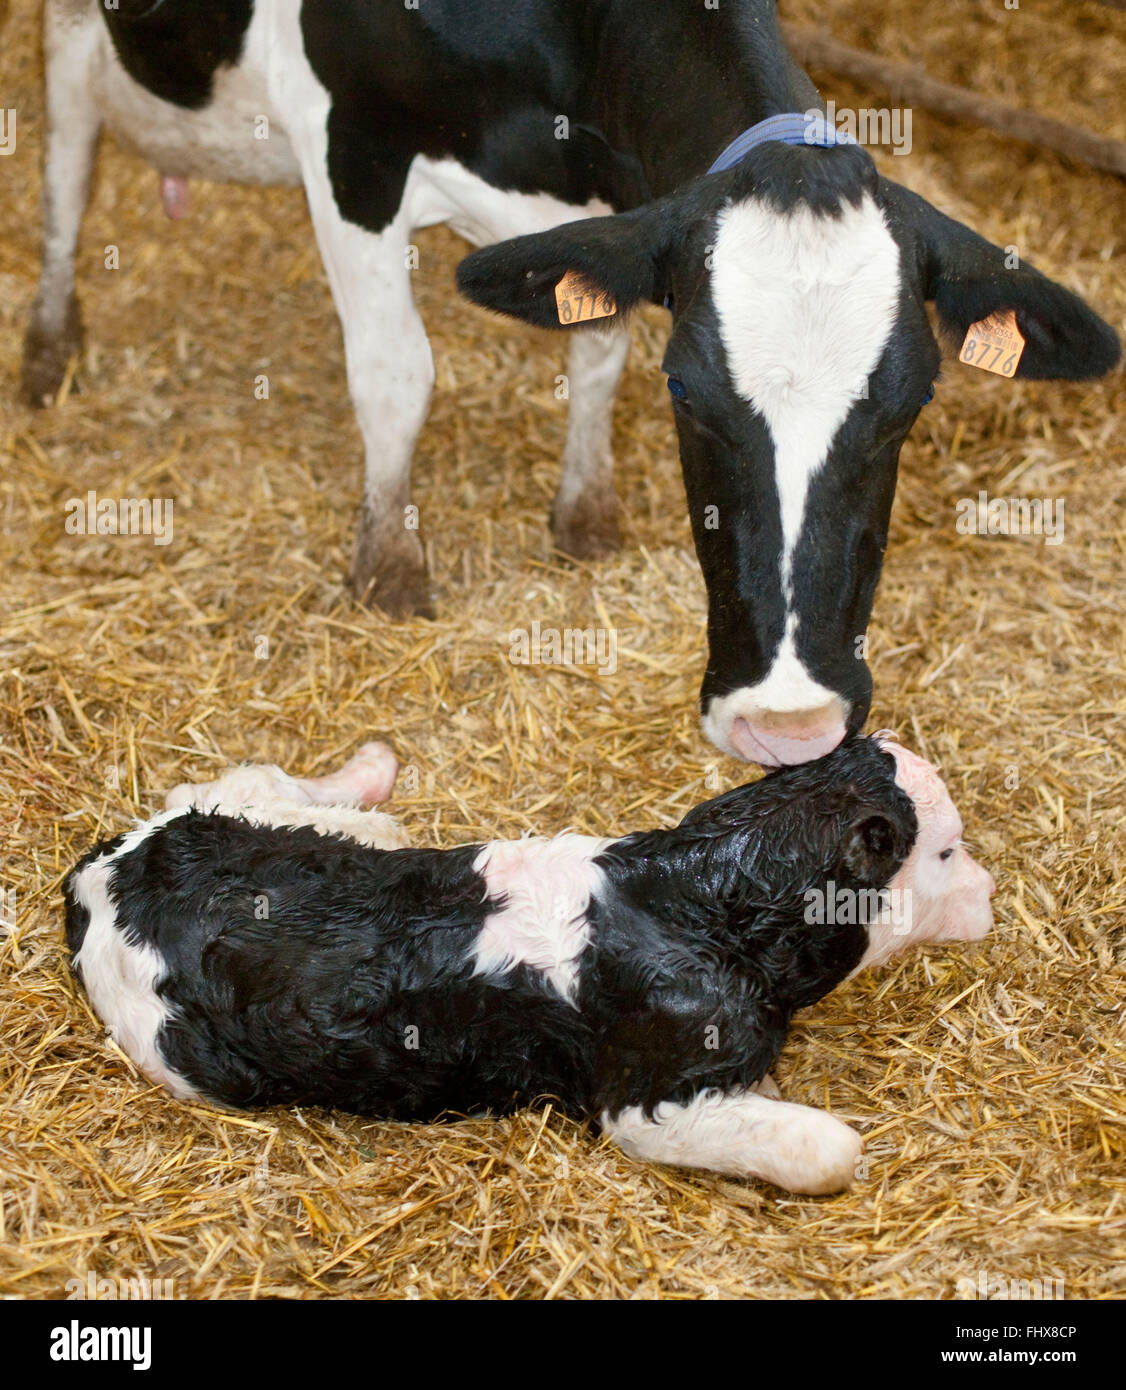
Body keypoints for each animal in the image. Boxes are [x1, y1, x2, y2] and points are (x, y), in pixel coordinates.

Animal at [23, 1, 1120, 766]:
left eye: (912, 405)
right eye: (689, 397)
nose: (791, 727)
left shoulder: (620, 199)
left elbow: (594, 351)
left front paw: (584, 512)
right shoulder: (352, 143)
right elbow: (396, 372)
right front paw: (390, 565)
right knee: (67, 156)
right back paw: (46, 343)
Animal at [63, 735, 995, 1194]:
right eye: (946, 851)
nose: (991, 892)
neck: (699, 898)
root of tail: (105, 874)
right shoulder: (645, 1098)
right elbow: (827, 1148)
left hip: (226, 829)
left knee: (222, 784)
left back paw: (374, 796)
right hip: (188, 1059)